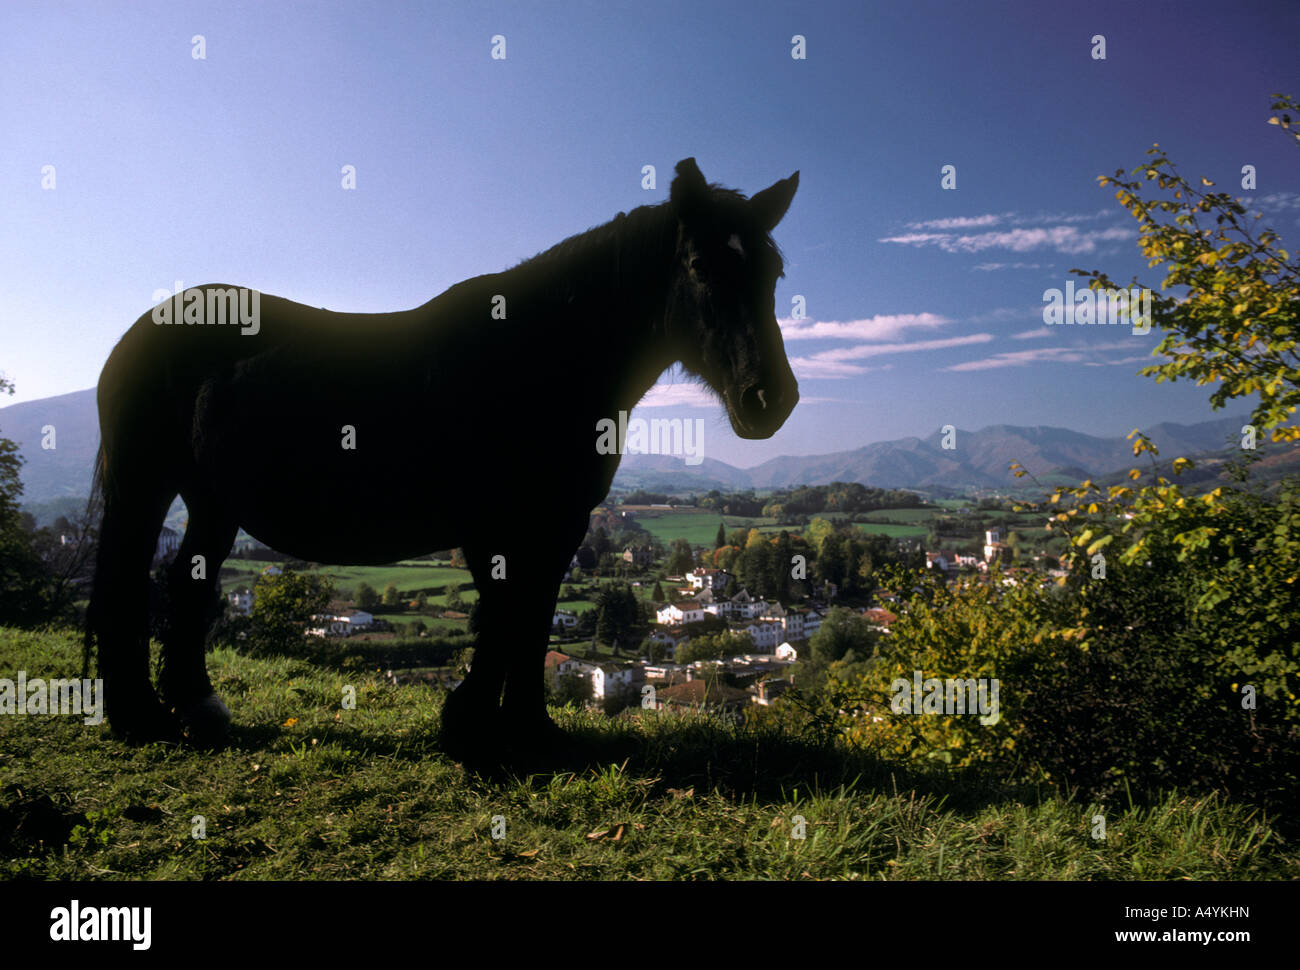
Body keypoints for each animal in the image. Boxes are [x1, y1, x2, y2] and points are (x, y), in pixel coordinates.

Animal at [84, 157, 800, 761]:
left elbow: (534, 614)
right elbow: (505, 611)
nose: (770, 400)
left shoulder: (560, 523)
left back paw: (197, 708)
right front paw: (473, 723)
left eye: (773, 274)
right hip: (145, 486)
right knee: (127, 579)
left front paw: (529, 730)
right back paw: (139, 716)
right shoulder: (492, 523)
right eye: (700, 266)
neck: (539, 357)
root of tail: (145, 328)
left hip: (212, 501)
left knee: (188, 583)